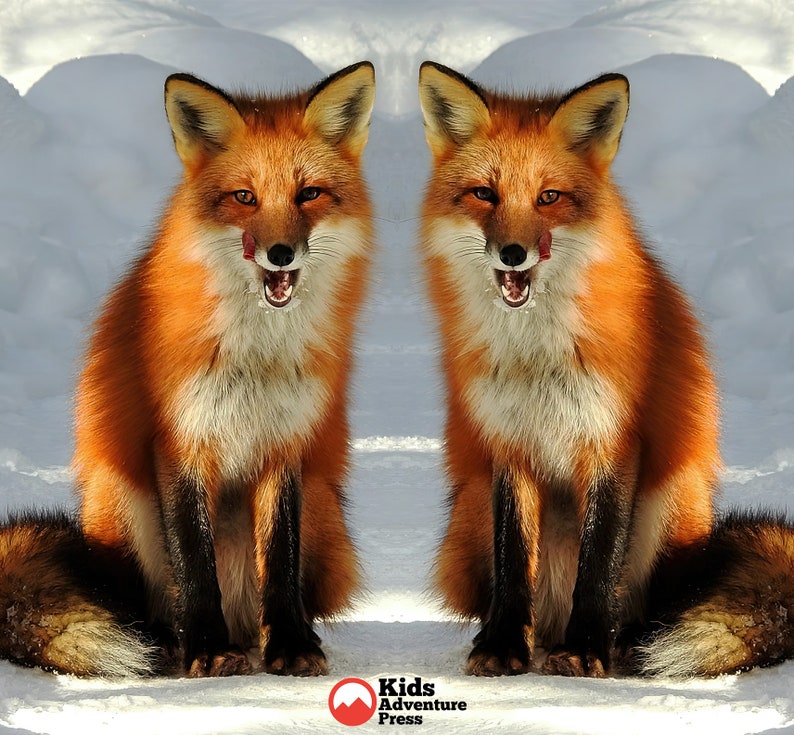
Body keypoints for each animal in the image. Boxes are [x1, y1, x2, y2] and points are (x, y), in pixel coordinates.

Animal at [0, 61, 376, 677]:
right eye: (244, 197)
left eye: (309, 194)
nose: (280, 253)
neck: (256, 354)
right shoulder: (181, 438)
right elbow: (195, 562)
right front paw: (207, 647)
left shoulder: (286, 442)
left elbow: (280, 560)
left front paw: (290, 645)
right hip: (123, 500)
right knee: (149, 603)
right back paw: (169, 642)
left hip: (324, 509)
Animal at [418, 61, 794, 678]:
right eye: (484, 194)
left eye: (548, 197)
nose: (513, 253)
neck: (537, 355)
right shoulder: (507, 442)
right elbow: (513, 560)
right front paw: (503, 644)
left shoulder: (612, 439)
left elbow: (598, 563)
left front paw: (586, 647)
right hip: (469, 509)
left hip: (670, 500)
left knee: (645, 603)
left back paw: (624, 642)